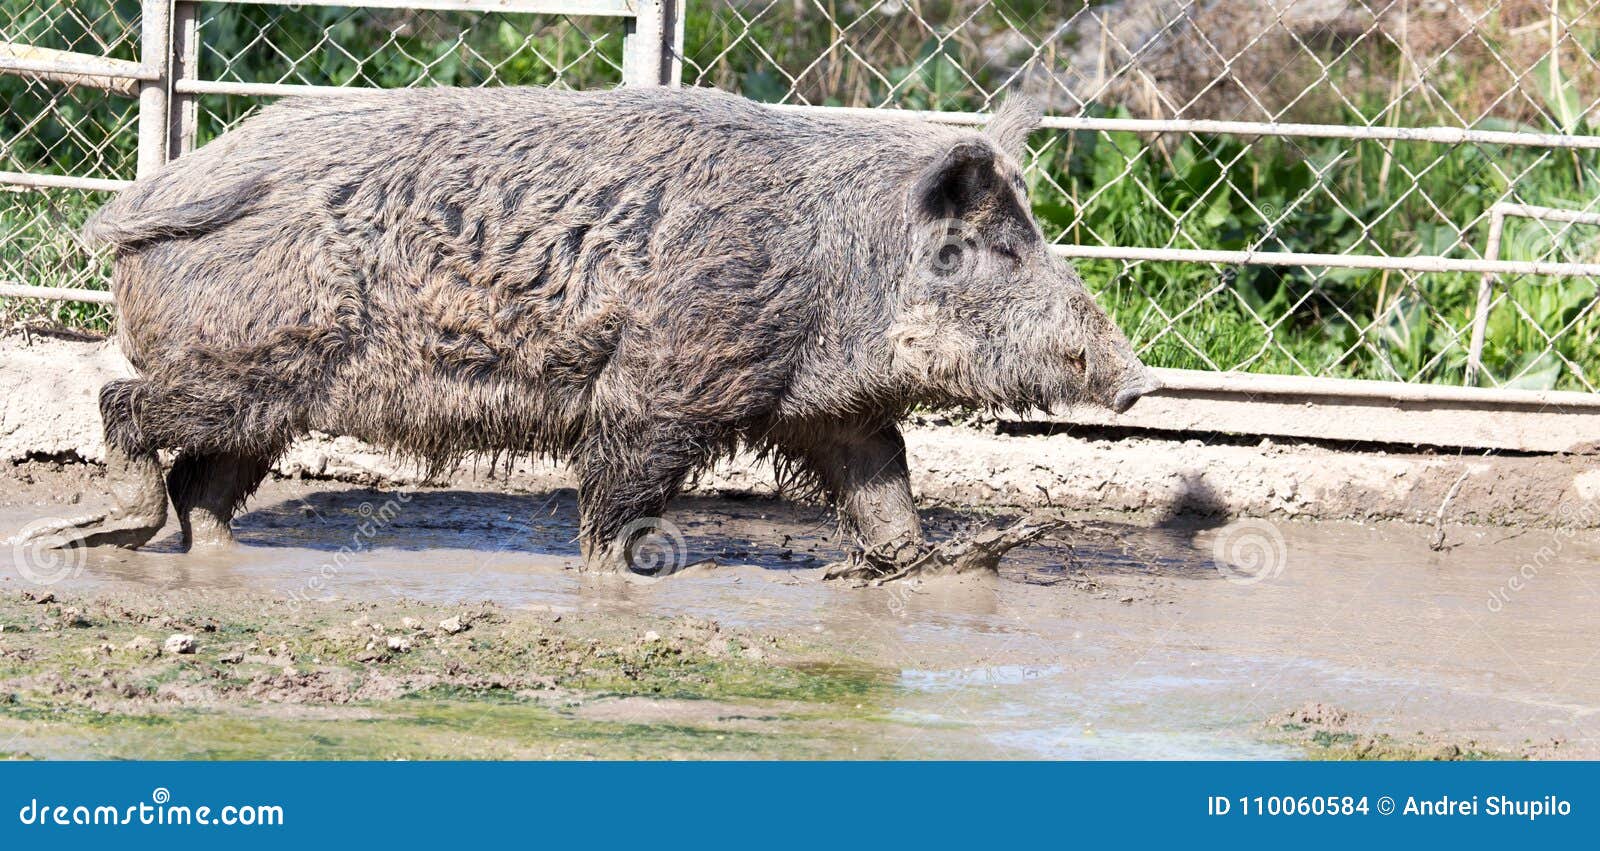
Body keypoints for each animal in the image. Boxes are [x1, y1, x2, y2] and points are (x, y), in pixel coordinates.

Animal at [28, 85, 1156, 576]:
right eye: (995, 248)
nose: (1136, 377)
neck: (837, 268)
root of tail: (156, 195)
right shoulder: (663, 384)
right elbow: (616, 493)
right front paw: (618, 573)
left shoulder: (832, 409)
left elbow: (886, 492)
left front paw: (944, 559)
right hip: (241, 367)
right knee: (124, 404)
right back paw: (77, 535)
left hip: (267, 399)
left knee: (203, 485)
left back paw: (218, 557)